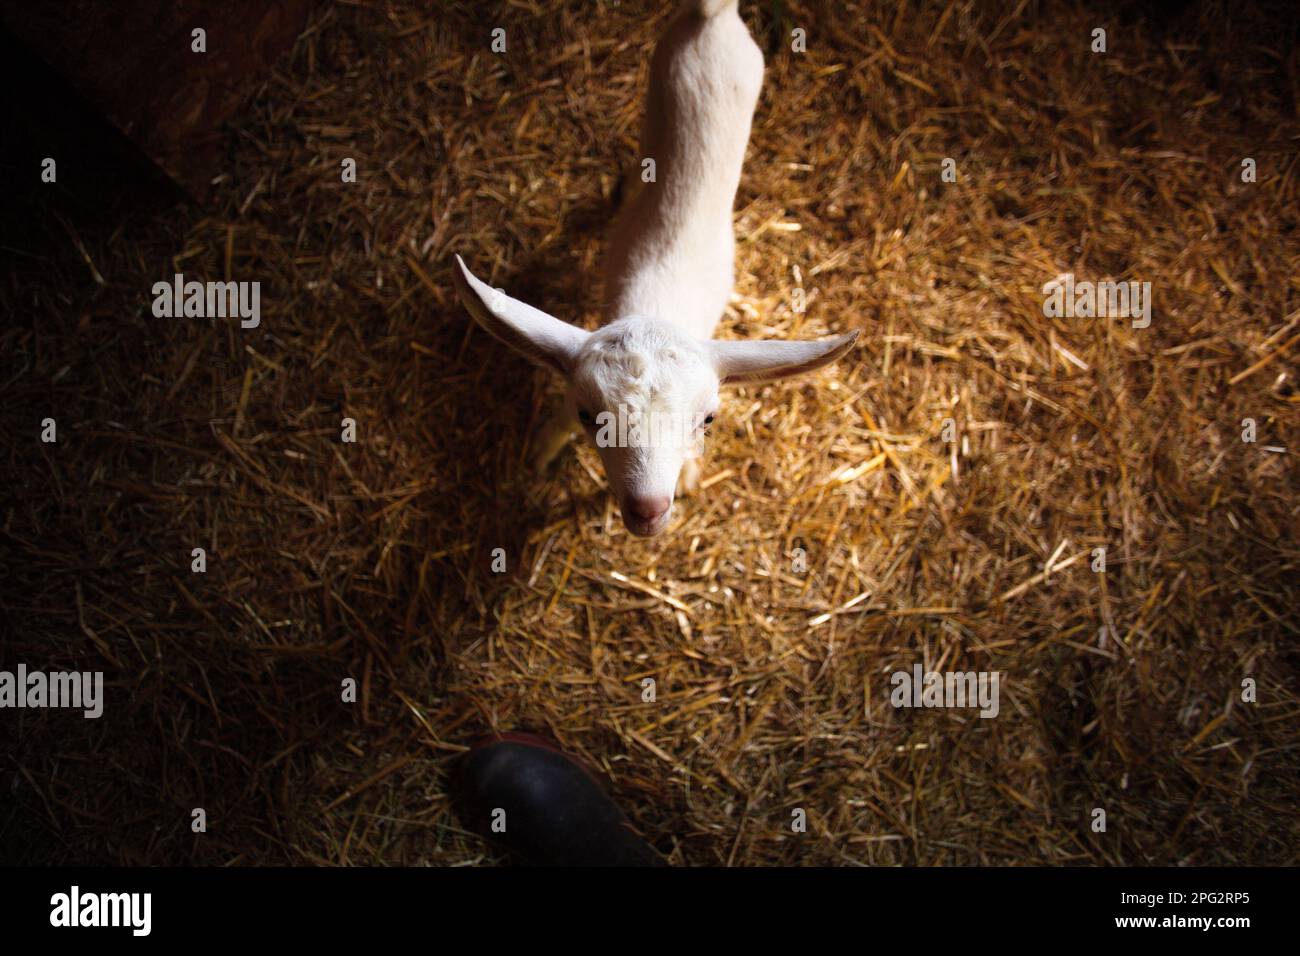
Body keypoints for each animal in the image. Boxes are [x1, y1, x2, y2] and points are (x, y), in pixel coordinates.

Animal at [453, 0, 858, 537]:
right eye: (589, 414)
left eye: (708, 420)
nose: (648, 511)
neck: (660, 303)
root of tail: (714, 17)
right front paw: (540, 453)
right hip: (659, 72)